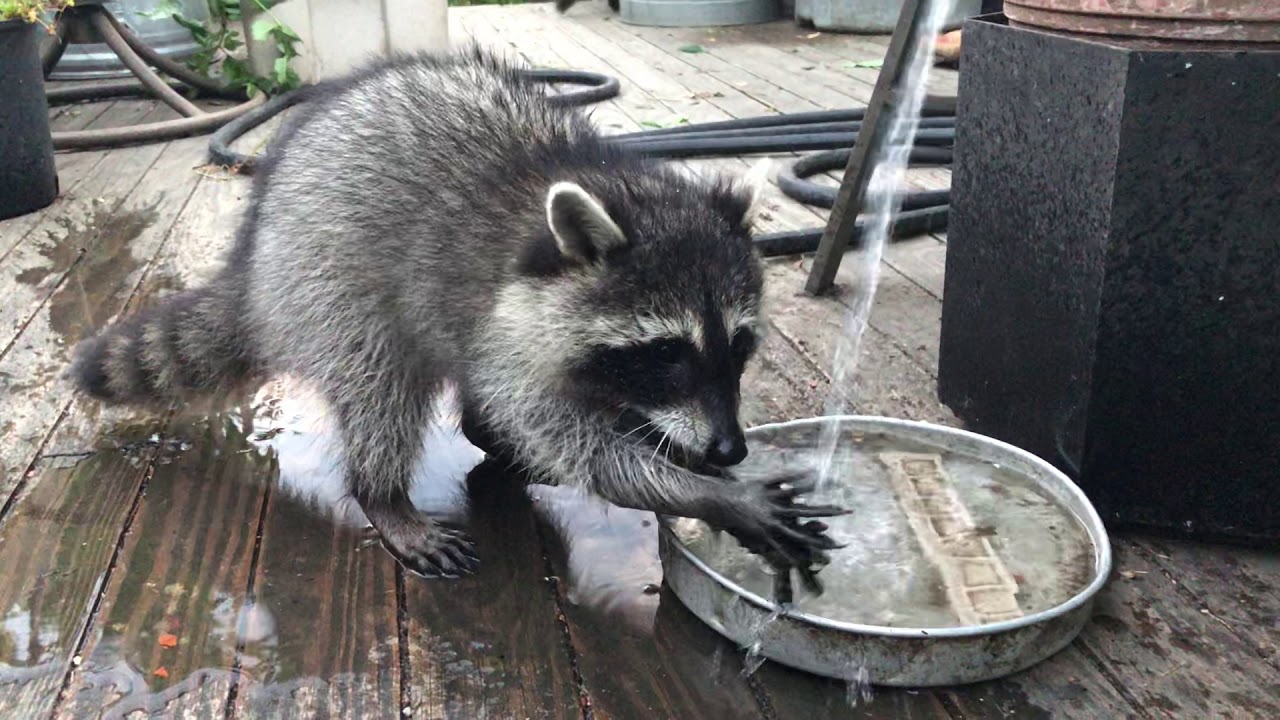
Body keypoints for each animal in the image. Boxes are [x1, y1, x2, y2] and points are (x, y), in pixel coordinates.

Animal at [70, 46, 845, 579]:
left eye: (739, 346)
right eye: (666, 352)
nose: (729, 450)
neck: (611, 183)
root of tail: (254, 263)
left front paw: (684, 453)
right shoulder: (508, 326)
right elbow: (572, 440)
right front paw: (704, 492)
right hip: (328, 280)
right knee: (380, 385)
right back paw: (382, 492)